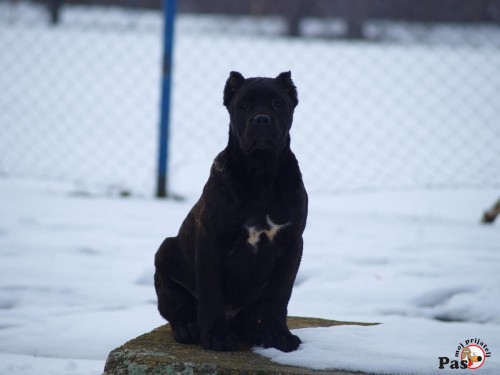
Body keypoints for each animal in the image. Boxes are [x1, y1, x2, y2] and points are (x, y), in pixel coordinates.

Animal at [154, 70, 306, 352]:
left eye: (278, 103)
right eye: (243, 104)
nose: (261, 119)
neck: (261, 171)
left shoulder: (292, 243)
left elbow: (279, 295)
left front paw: (279, 335)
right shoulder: (210, 240)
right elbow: (211, 293)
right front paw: (217, 337)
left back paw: (254, 332)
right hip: (165, 252)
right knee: (177, 308)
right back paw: (188, 328)